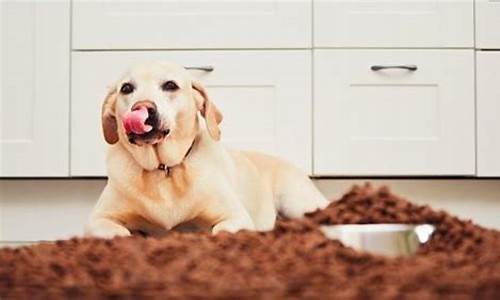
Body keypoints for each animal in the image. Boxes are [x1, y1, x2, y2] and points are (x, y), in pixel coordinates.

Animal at [86, 61, 328, 239]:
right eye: (126, 88)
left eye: (170, 85)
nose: (142, 108)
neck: (165, 170)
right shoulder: (97, 221)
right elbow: (120, 233)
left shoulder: (236, 218)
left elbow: (218, 231)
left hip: (298, 202)